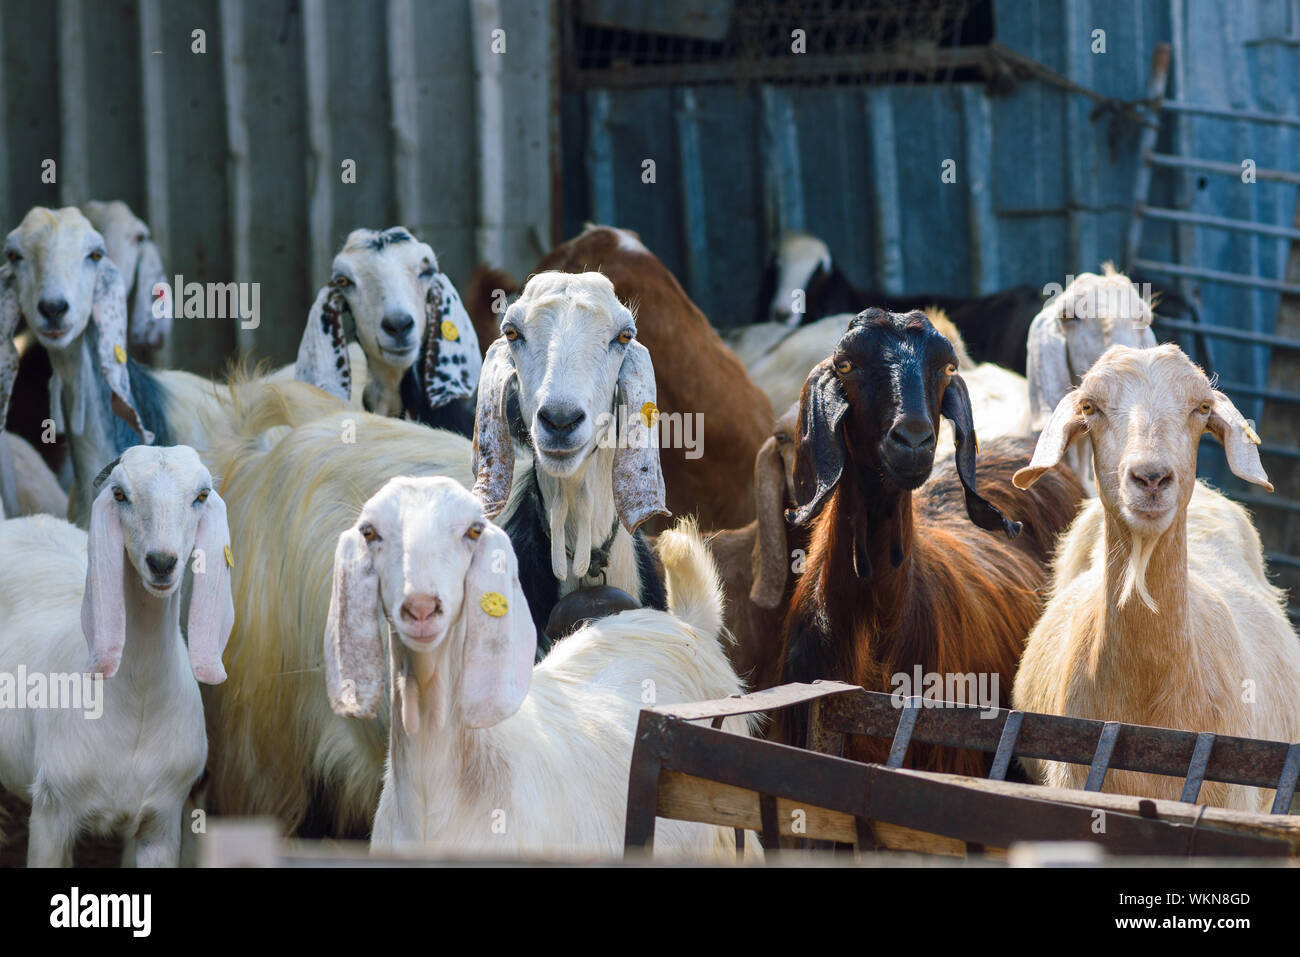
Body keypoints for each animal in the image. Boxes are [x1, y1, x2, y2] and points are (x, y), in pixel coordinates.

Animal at [0, 445, 232, 866]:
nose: (161, 562)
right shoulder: (50, 814)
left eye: (202, 495)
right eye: (120, 493)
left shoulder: (161, 822)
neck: (137, 702)